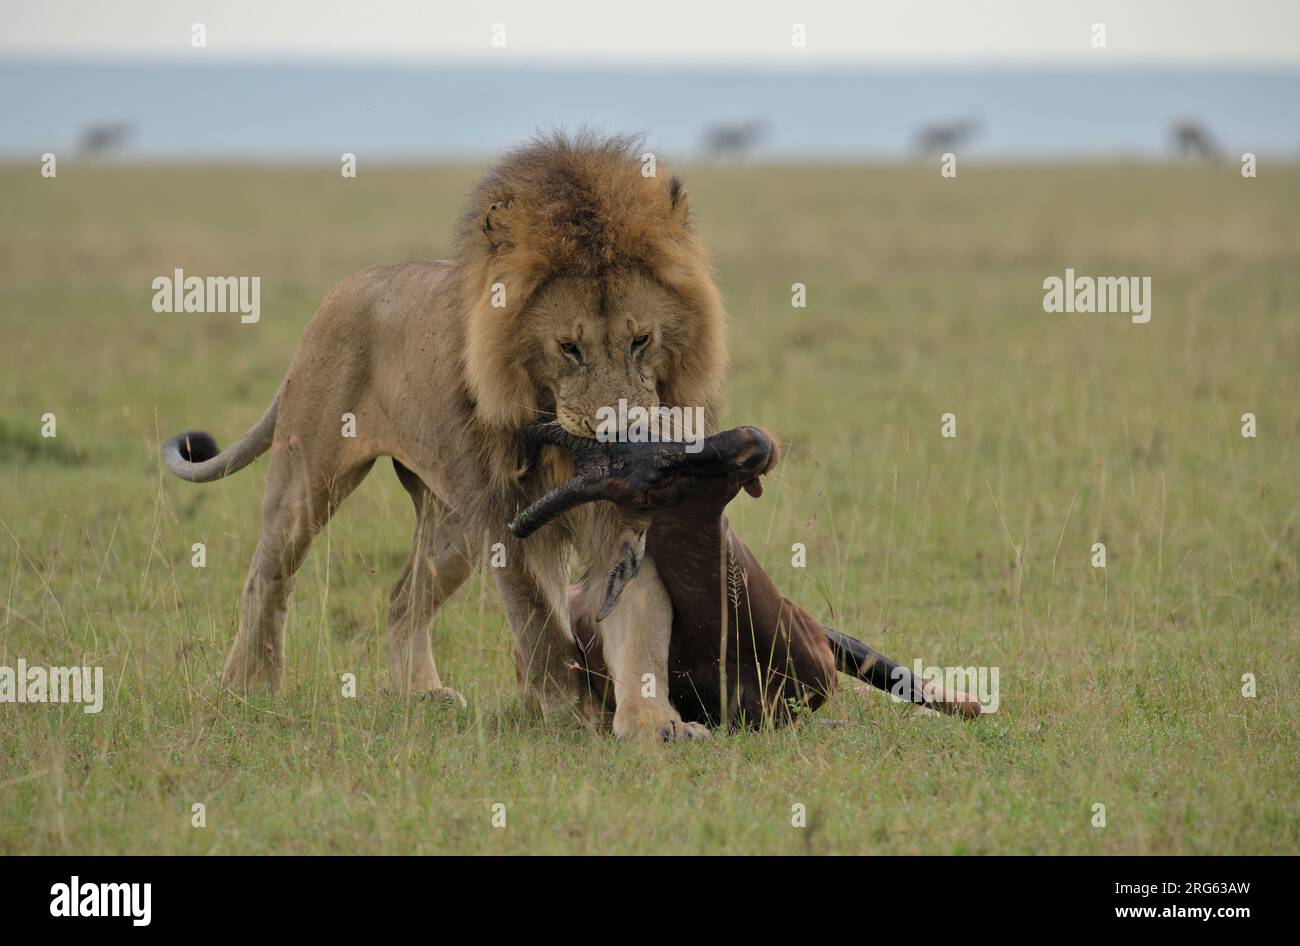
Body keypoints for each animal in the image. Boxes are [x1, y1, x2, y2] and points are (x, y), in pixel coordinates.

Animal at [161, 133, 726, 741]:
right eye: (569, 348)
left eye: (640, 340)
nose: (621, 433)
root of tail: (345, 288)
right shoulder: (505, 517)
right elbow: (539, 622)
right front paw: (569, 711)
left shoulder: (621, 512)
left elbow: (642, 619)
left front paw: (656, 724)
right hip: (306, 477)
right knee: (266, 575)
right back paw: (246, 686)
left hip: (452, 524)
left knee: (400, 601)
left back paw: (421, 693)